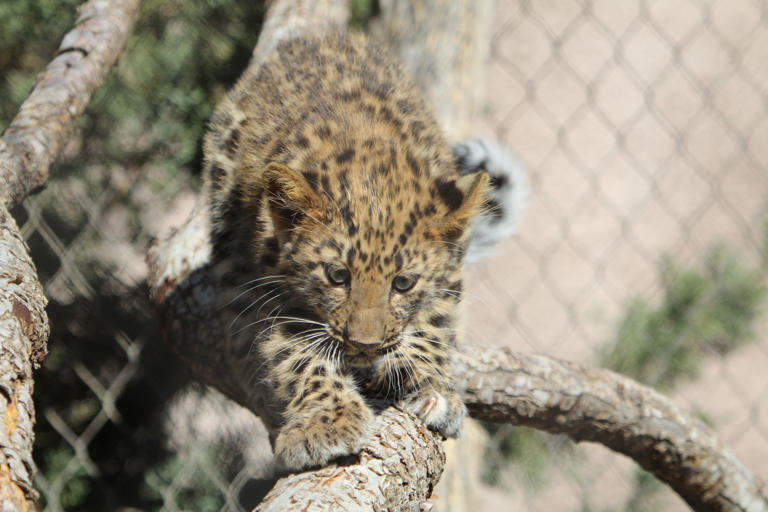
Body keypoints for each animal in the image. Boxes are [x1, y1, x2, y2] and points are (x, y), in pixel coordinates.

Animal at [202, 31, 512, 472]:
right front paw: (325, 425)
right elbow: (297, 355)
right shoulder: (269, 287)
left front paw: (433, 388)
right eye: (337, 276)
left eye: (403, 283)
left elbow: (435, 324)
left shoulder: (451, 262)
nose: (365, 345)